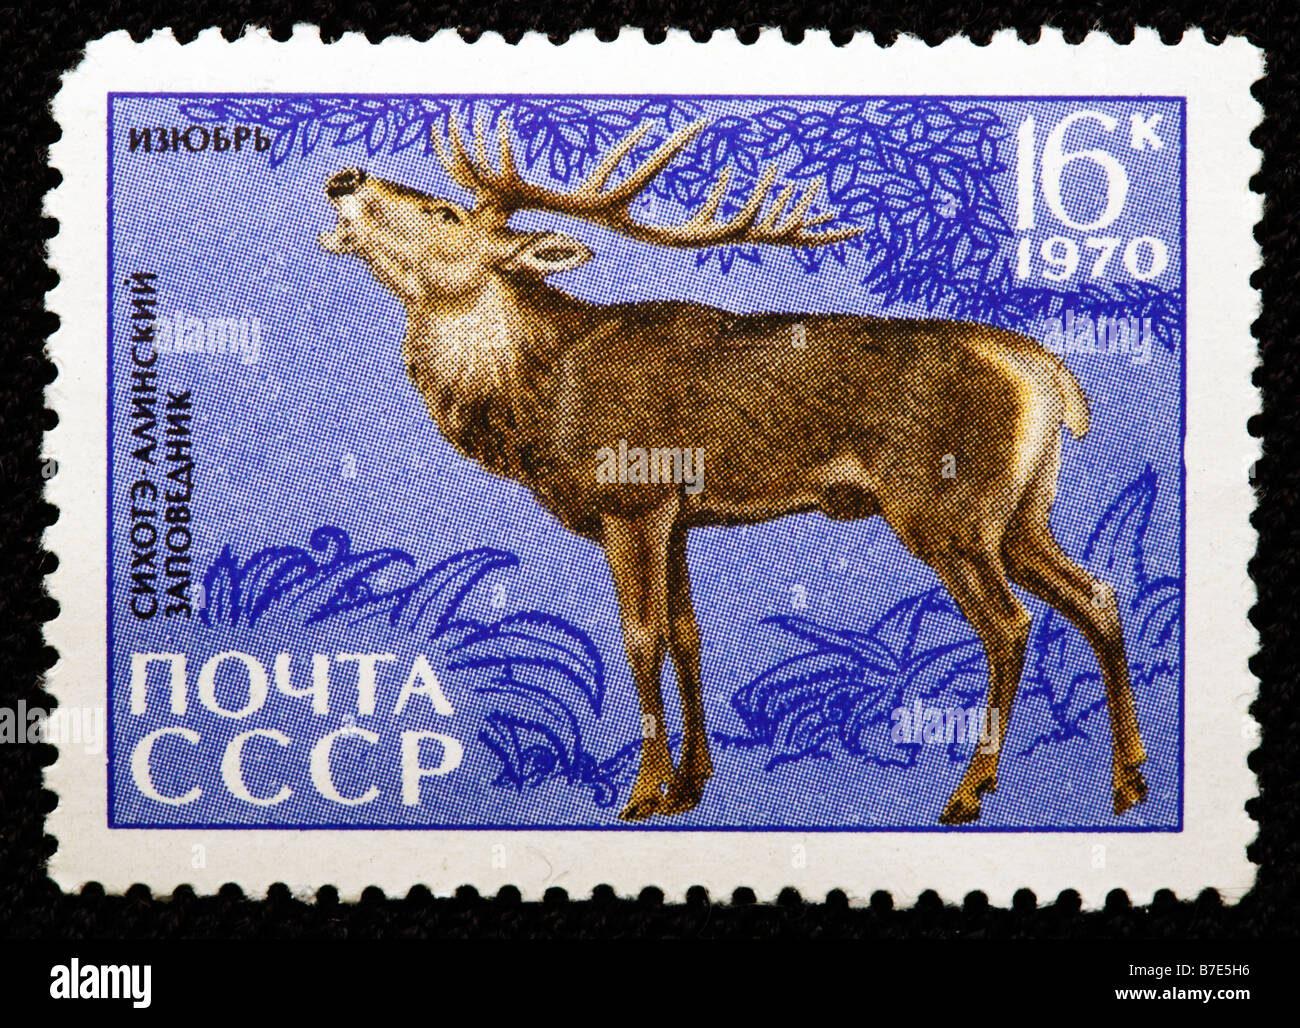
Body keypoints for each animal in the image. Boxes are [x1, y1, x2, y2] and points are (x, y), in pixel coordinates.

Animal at [317, 115, 1148, 825]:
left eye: (445, 215)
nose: (344, 176)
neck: (543, 399)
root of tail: (1051, 375)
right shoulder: (683, 517)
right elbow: (688, 634)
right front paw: (692, 785)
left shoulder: (635, 498)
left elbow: (641, 636)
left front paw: (643, 793)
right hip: (1022, 508)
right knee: (1096, 595)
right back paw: (1129, 780)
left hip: (946, 506)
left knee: (1009, 623)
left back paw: (970, 792)